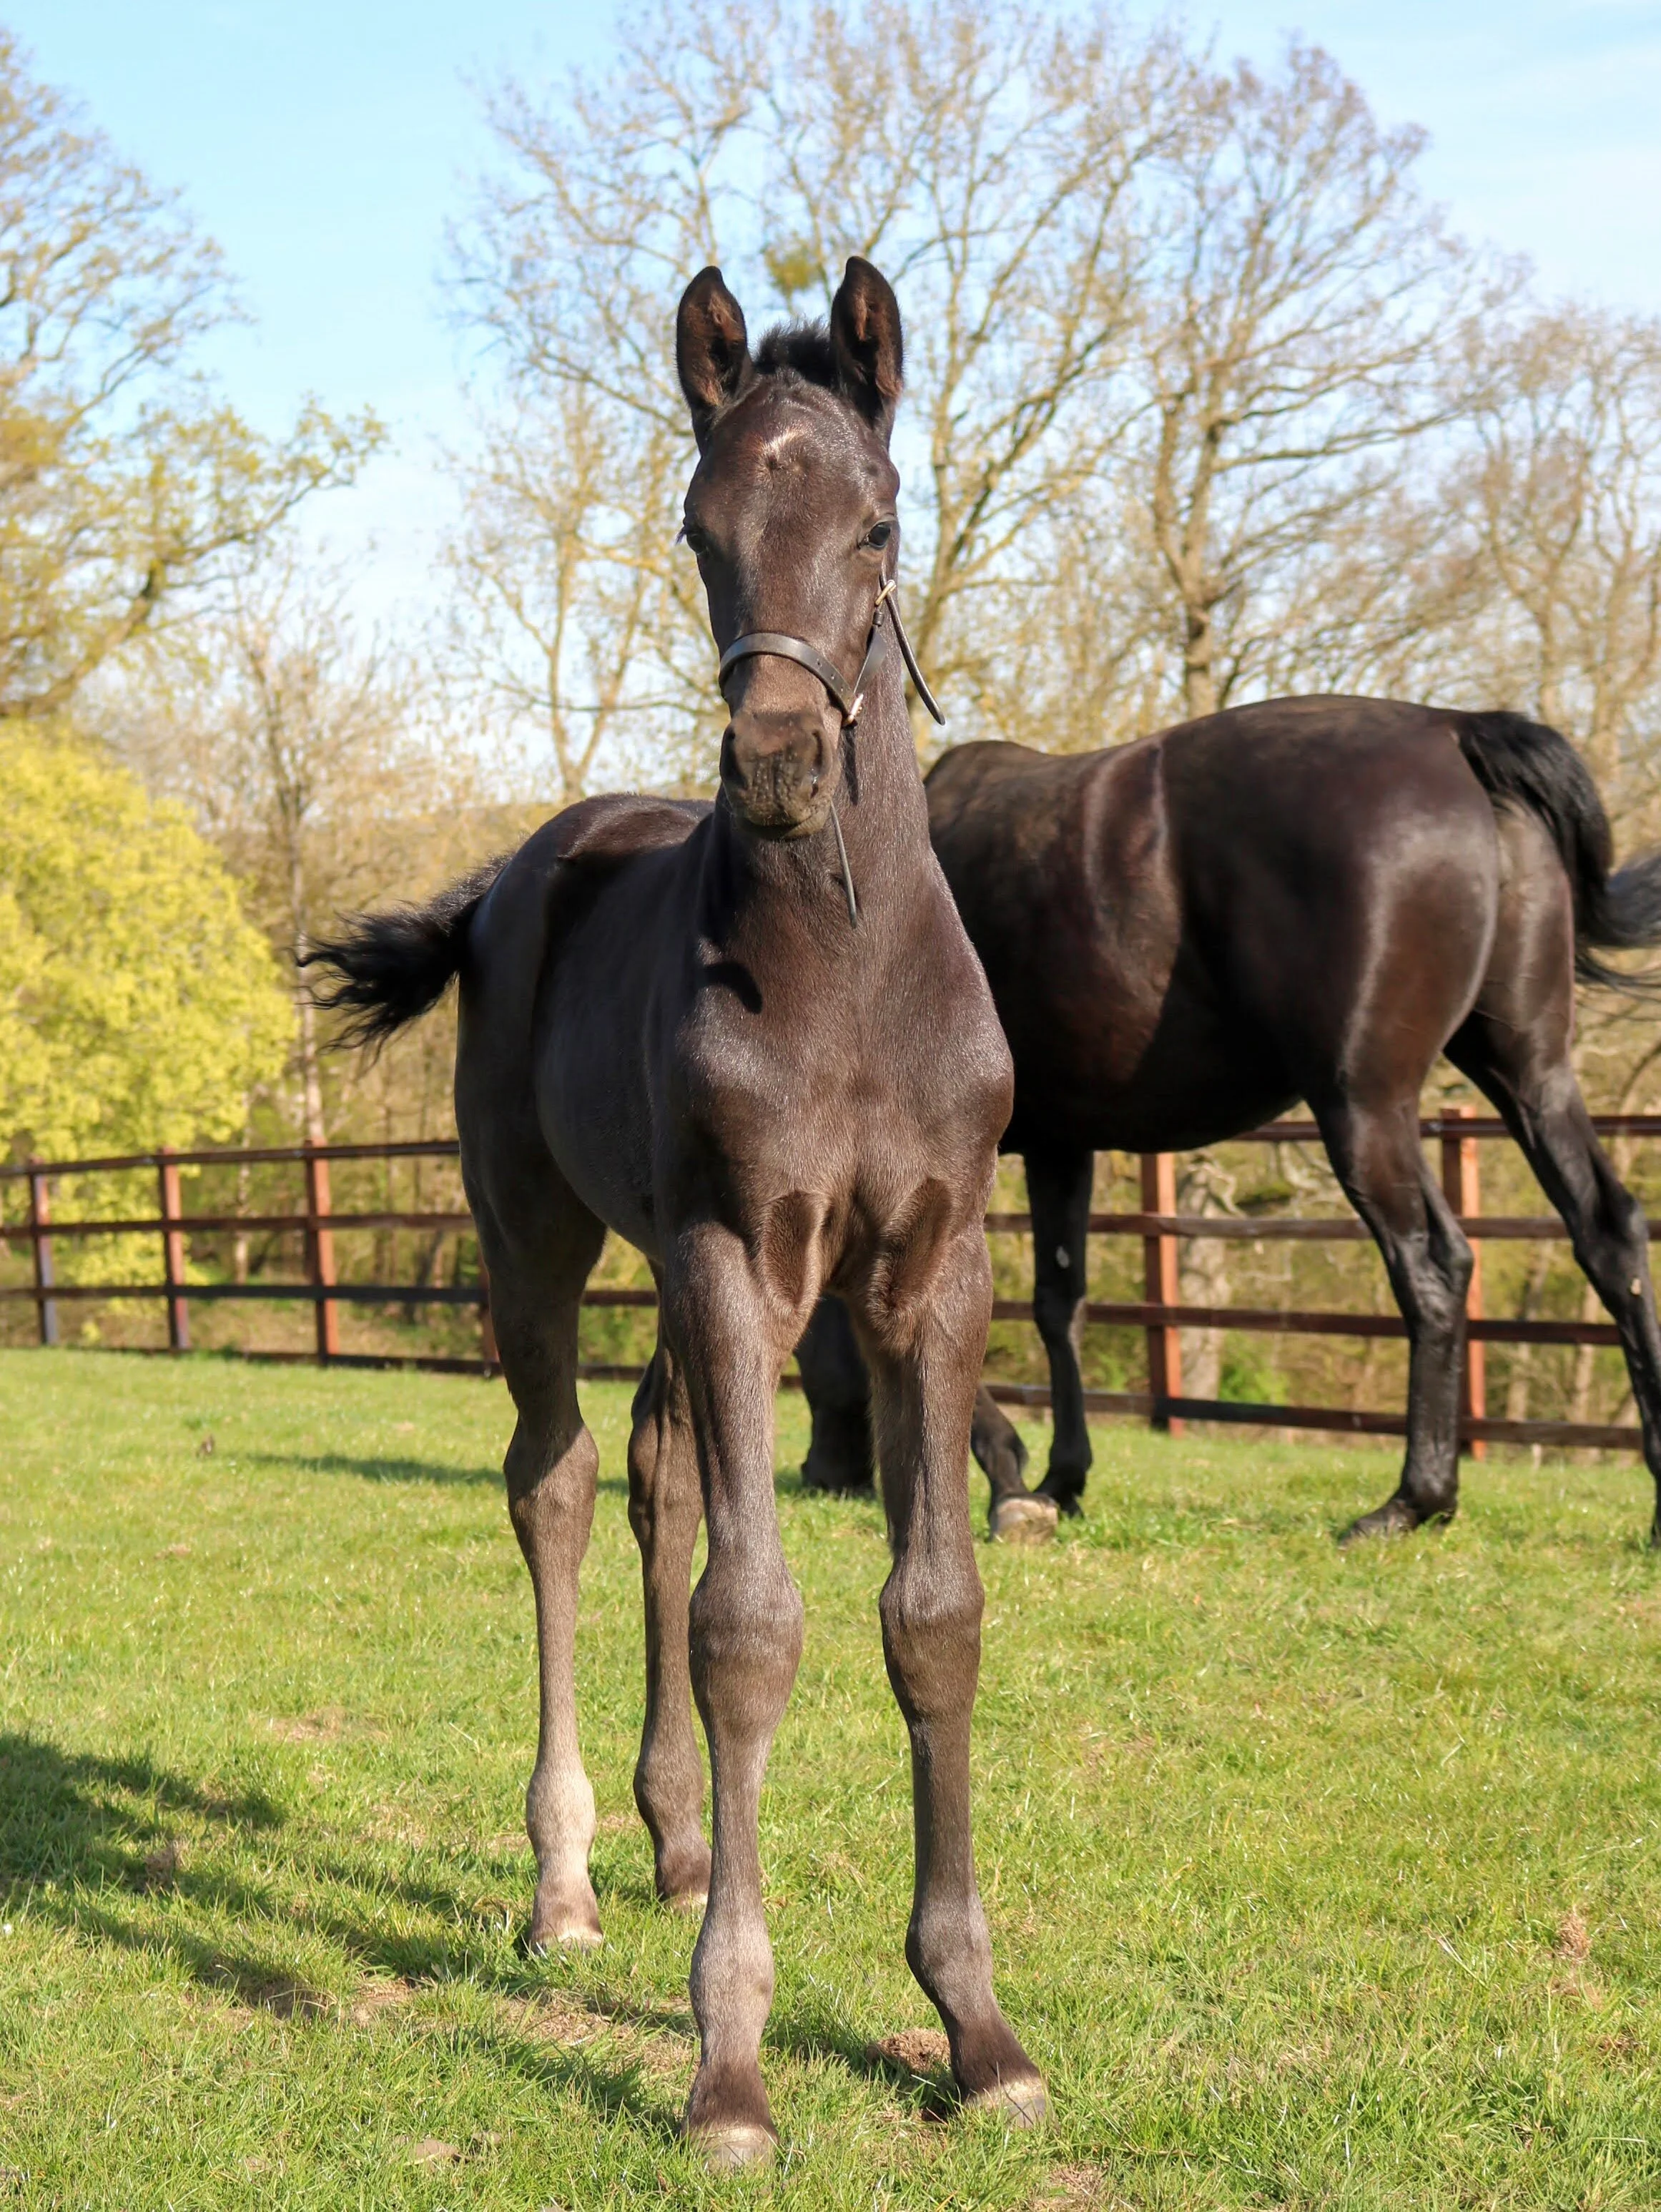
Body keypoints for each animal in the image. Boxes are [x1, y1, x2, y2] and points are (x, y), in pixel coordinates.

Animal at [306, 259, 1045, 2166]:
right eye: (700, 528)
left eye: (878, 522)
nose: (776, 769)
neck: (841, 974)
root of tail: (512, 874)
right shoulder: (731, 1258)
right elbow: (752, 1623)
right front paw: (727, 2065)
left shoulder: (928, 1271)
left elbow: (931, 1609)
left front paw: (976, 2030)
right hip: (539, 1242)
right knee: (558, 1485)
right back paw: (567, 1880)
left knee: (648, 1477)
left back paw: (678, 1839)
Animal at [795, 700, 1661, 1547]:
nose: (821, 1474)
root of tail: (1450, 730)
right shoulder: (1060, 1147)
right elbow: (1058, 1305)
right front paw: (1059, 1480)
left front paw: (1009, 1478)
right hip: (1528, 1075)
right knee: (1607, 1234)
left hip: (1364, 1106)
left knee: (1433, 1265)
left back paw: (1412, 1501)